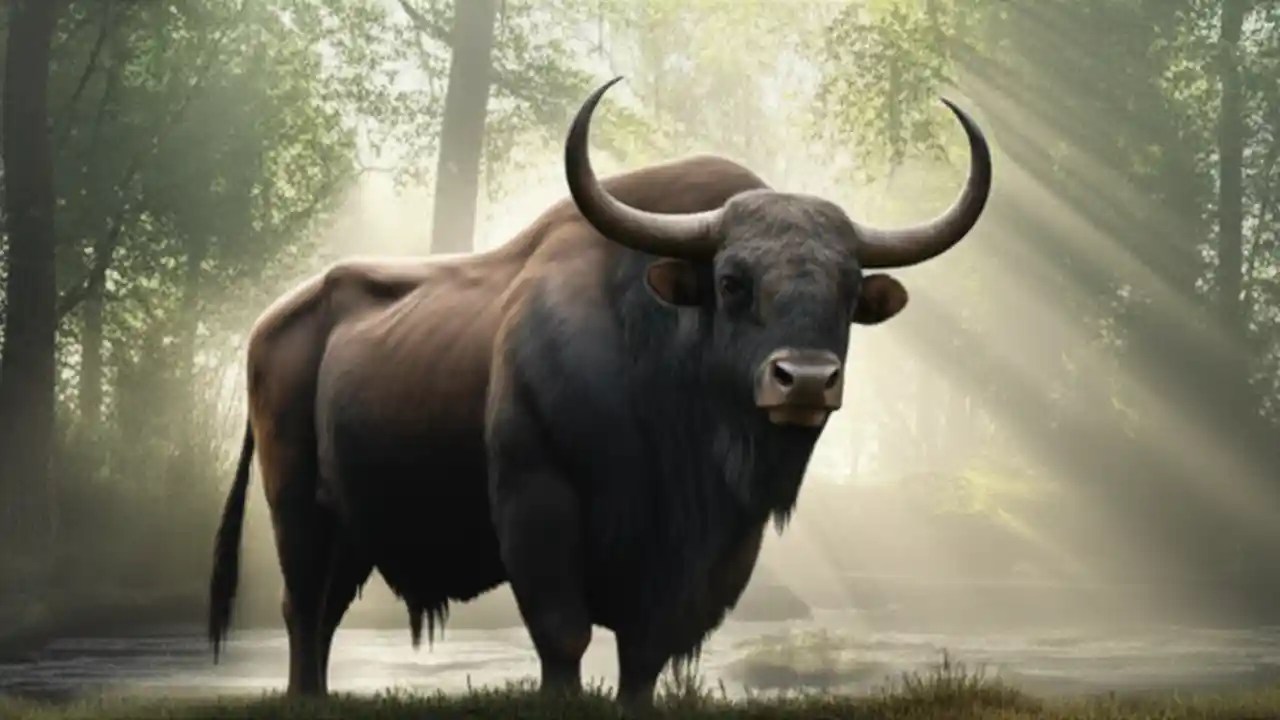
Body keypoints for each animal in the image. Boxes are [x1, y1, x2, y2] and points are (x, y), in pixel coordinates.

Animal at [207, 76, 992, 709]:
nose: (803, 379)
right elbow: (564, 634)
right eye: (731, 282)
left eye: (849, 289)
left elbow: (645, 651)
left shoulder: (706, 554)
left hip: (352, 526)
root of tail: (273, 320)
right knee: (302, 605)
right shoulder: (538, 503)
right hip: (297, 506)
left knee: (327, 607)